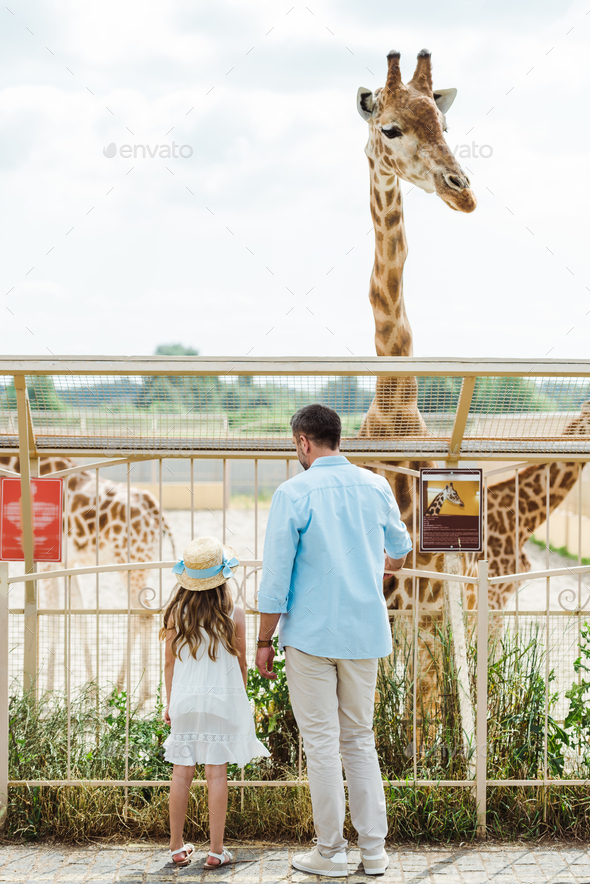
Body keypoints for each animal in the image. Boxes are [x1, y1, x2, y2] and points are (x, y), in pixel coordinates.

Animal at [1, 455, 175, 703]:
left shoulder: (45, 561)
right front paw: (91, 691)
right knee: (144, 615)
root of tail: (158, 514)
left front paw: (45, 694)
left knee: (141, 615)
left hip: (131, 564)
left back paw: (126, 693)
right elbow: (78, 615)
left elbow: (51, 618)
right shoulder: (67, 564)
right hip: (141, 564)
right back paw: (141, 693)